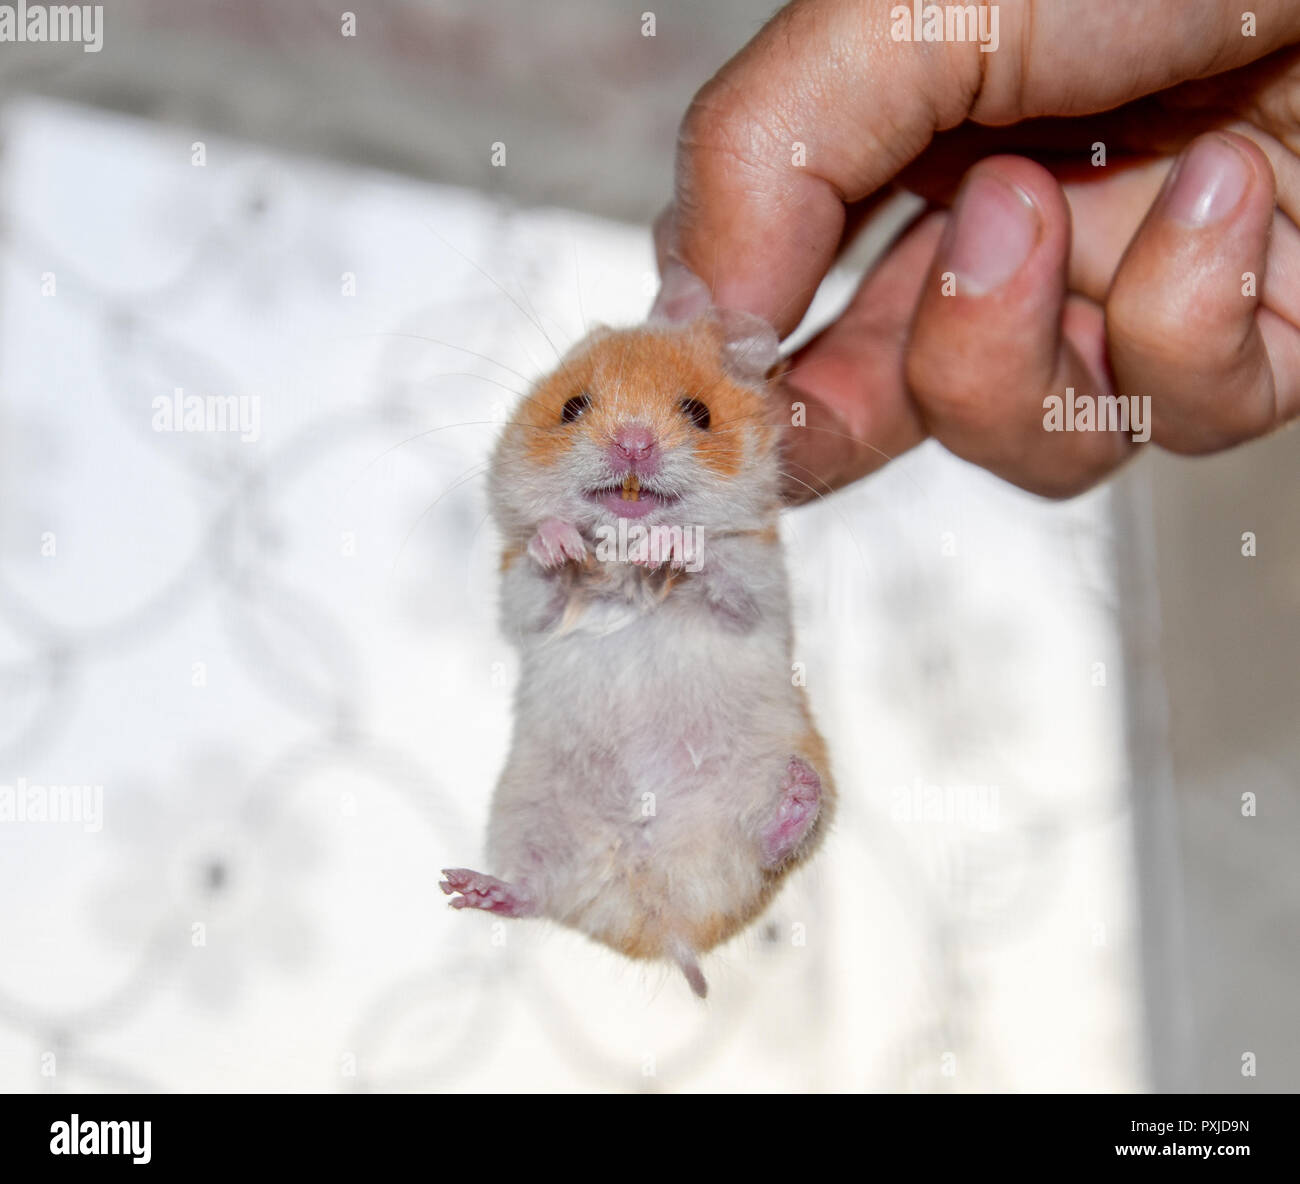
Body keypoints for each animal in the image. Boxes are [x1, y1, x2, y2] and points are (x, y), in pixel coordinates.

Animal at [441, 285, 835, 999]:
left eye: (699, 414)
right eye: (571, 407)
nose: (633, 443)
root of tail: (659, 912)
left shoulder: (759, 582)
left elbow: (720, 572)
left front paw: (668, 545)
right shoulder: (519, 599)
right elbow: (539, 585)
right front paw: (562, 540)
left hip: (759, 786)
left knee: (768, 850)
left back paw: (796, 796)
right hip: (527, 812)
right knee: (539, 893)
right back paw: (468, 888)